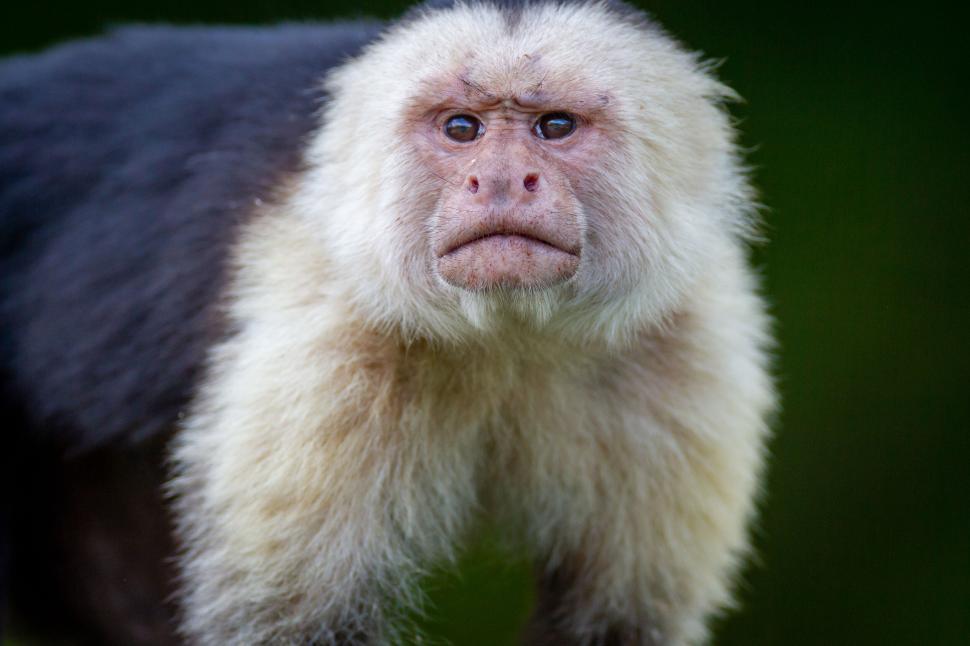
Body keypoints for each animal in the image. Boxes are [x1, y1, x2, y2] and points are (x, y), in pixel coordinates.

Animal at [0, 0, 775, 644]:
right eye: (461, 128)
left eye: (555, 126)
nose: (499, 181)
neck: (510, 334)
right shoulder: (327, 325)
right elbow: (292, 621)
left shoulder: (689, 345)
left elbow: (619, 623)